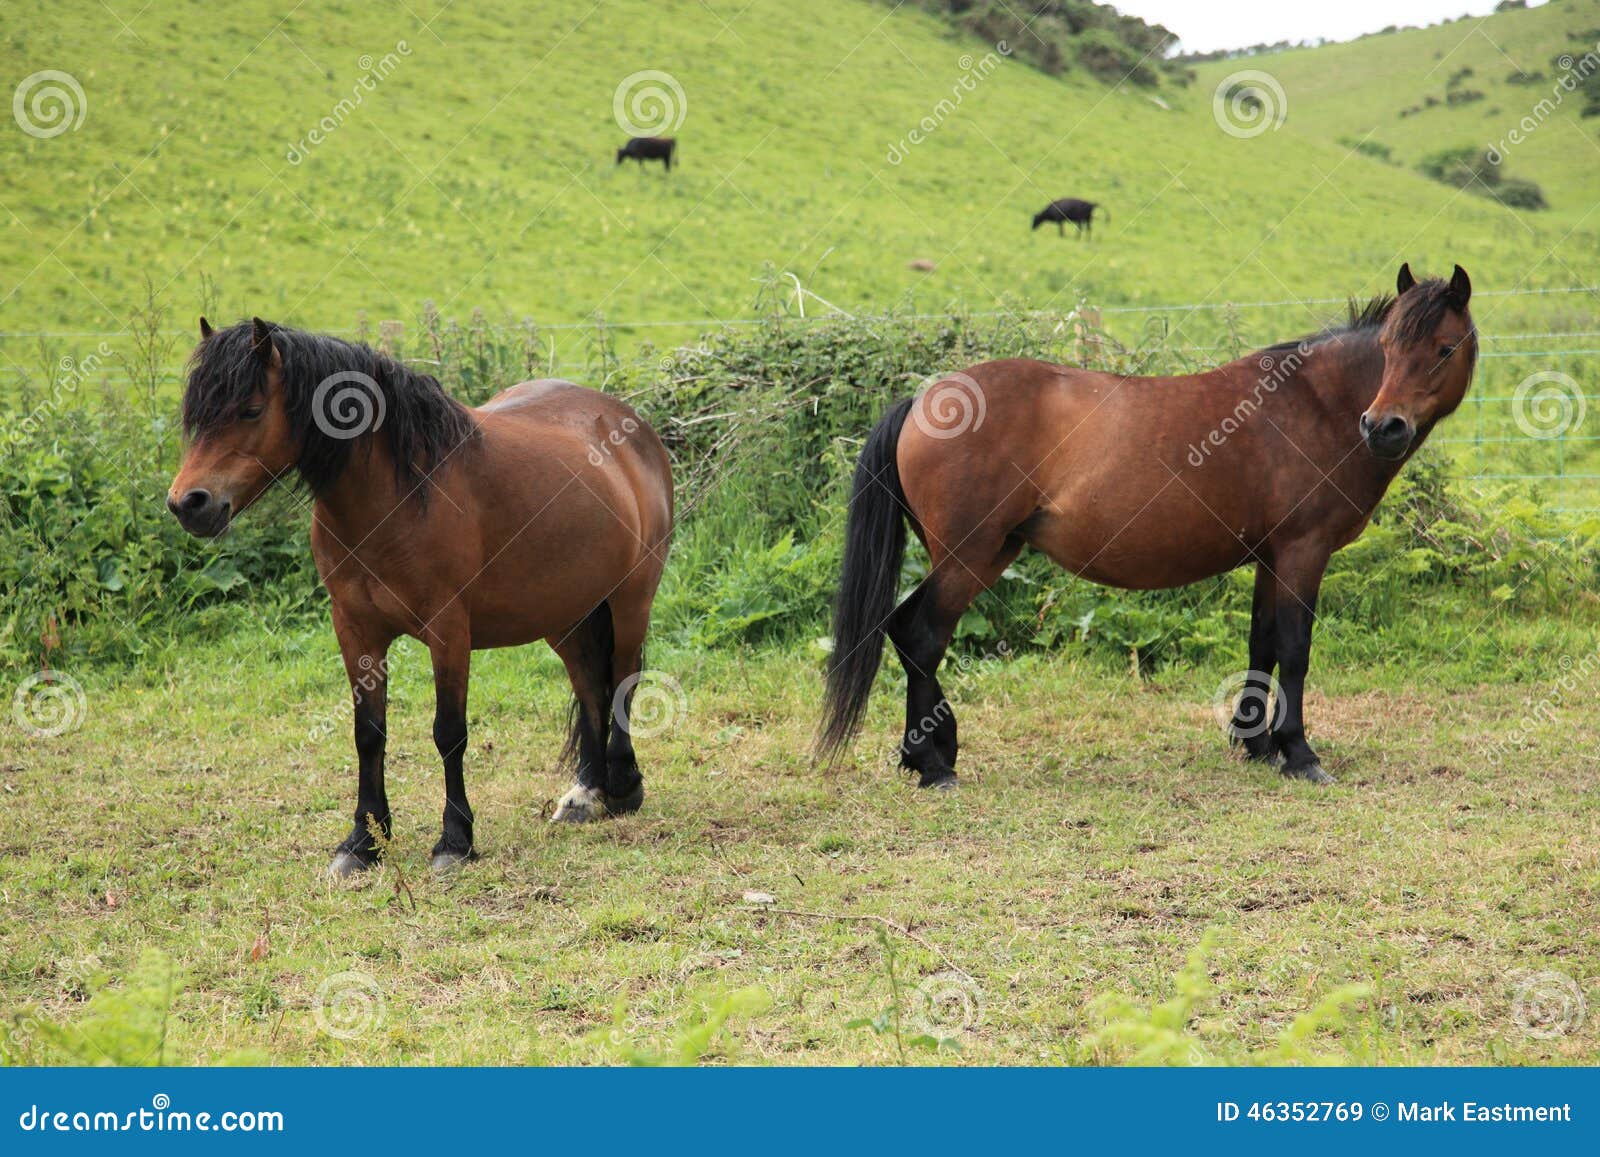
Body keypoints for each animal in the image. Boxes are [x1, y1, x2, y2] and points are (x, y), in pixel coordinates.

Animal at [168, 318, 674, 874]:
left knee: (622, 679)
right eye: (196, 415)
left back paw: (623, 787)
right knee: (589, 685)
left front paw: (455, 840)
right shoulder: (355, 629)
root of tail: (630, 425)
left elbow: (448, 732)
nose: (189, 504)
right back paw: (586, 793)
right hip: (564, 614)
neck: (400, 497)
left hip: (630, 600)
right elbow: (369, 733)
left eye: (251, 410)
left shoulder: (448, 630)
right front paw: (363, 842)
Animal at [819, 264, 1476, 788]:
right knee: (920, 635)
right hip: (969, 557)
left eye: (1444, 348)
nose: (1382, 427)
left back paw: (929, 752)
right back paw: (933, 765)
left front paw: (1256, 744)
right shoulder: (1301, 553)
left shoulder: (1272, 558)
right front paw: (1299, 753)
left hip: (986, 551)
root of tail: (926, 401)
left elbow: (1261, 643)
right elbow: (1294, 650)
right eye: (1388, 346)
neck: (1316, 404)